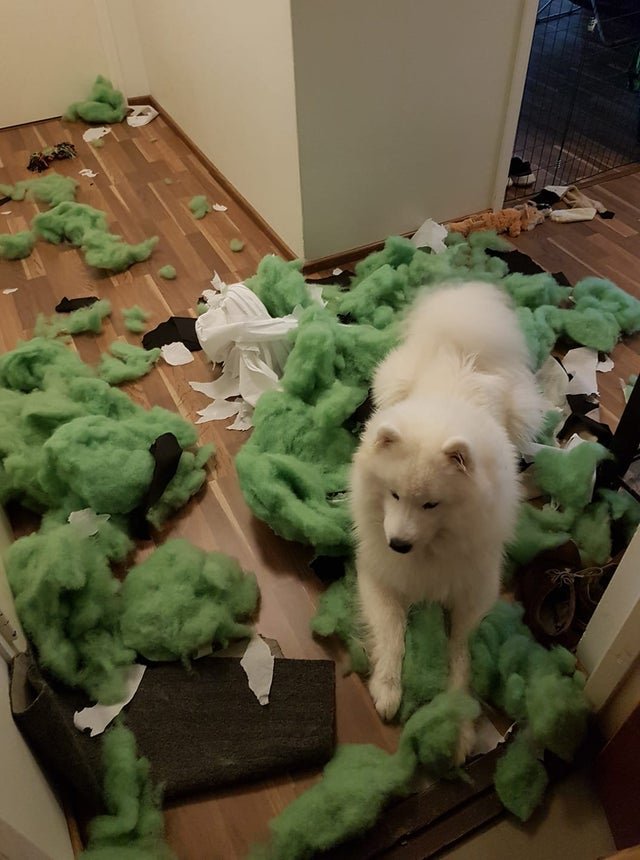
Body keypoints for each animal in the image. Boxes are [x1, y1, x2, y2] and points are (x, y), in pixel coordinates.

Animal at [350, 280, 544, 752]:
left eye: (431, 505)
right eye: (394, 494)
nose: (398, 543)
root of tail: (460, 348)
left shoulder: (473, 592)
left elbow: (461, 654)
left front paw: (458, 724)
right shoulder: (378, 575)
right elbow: (392, 632)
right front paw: (387, 690)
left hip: (522, 415)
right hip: (389, 384)